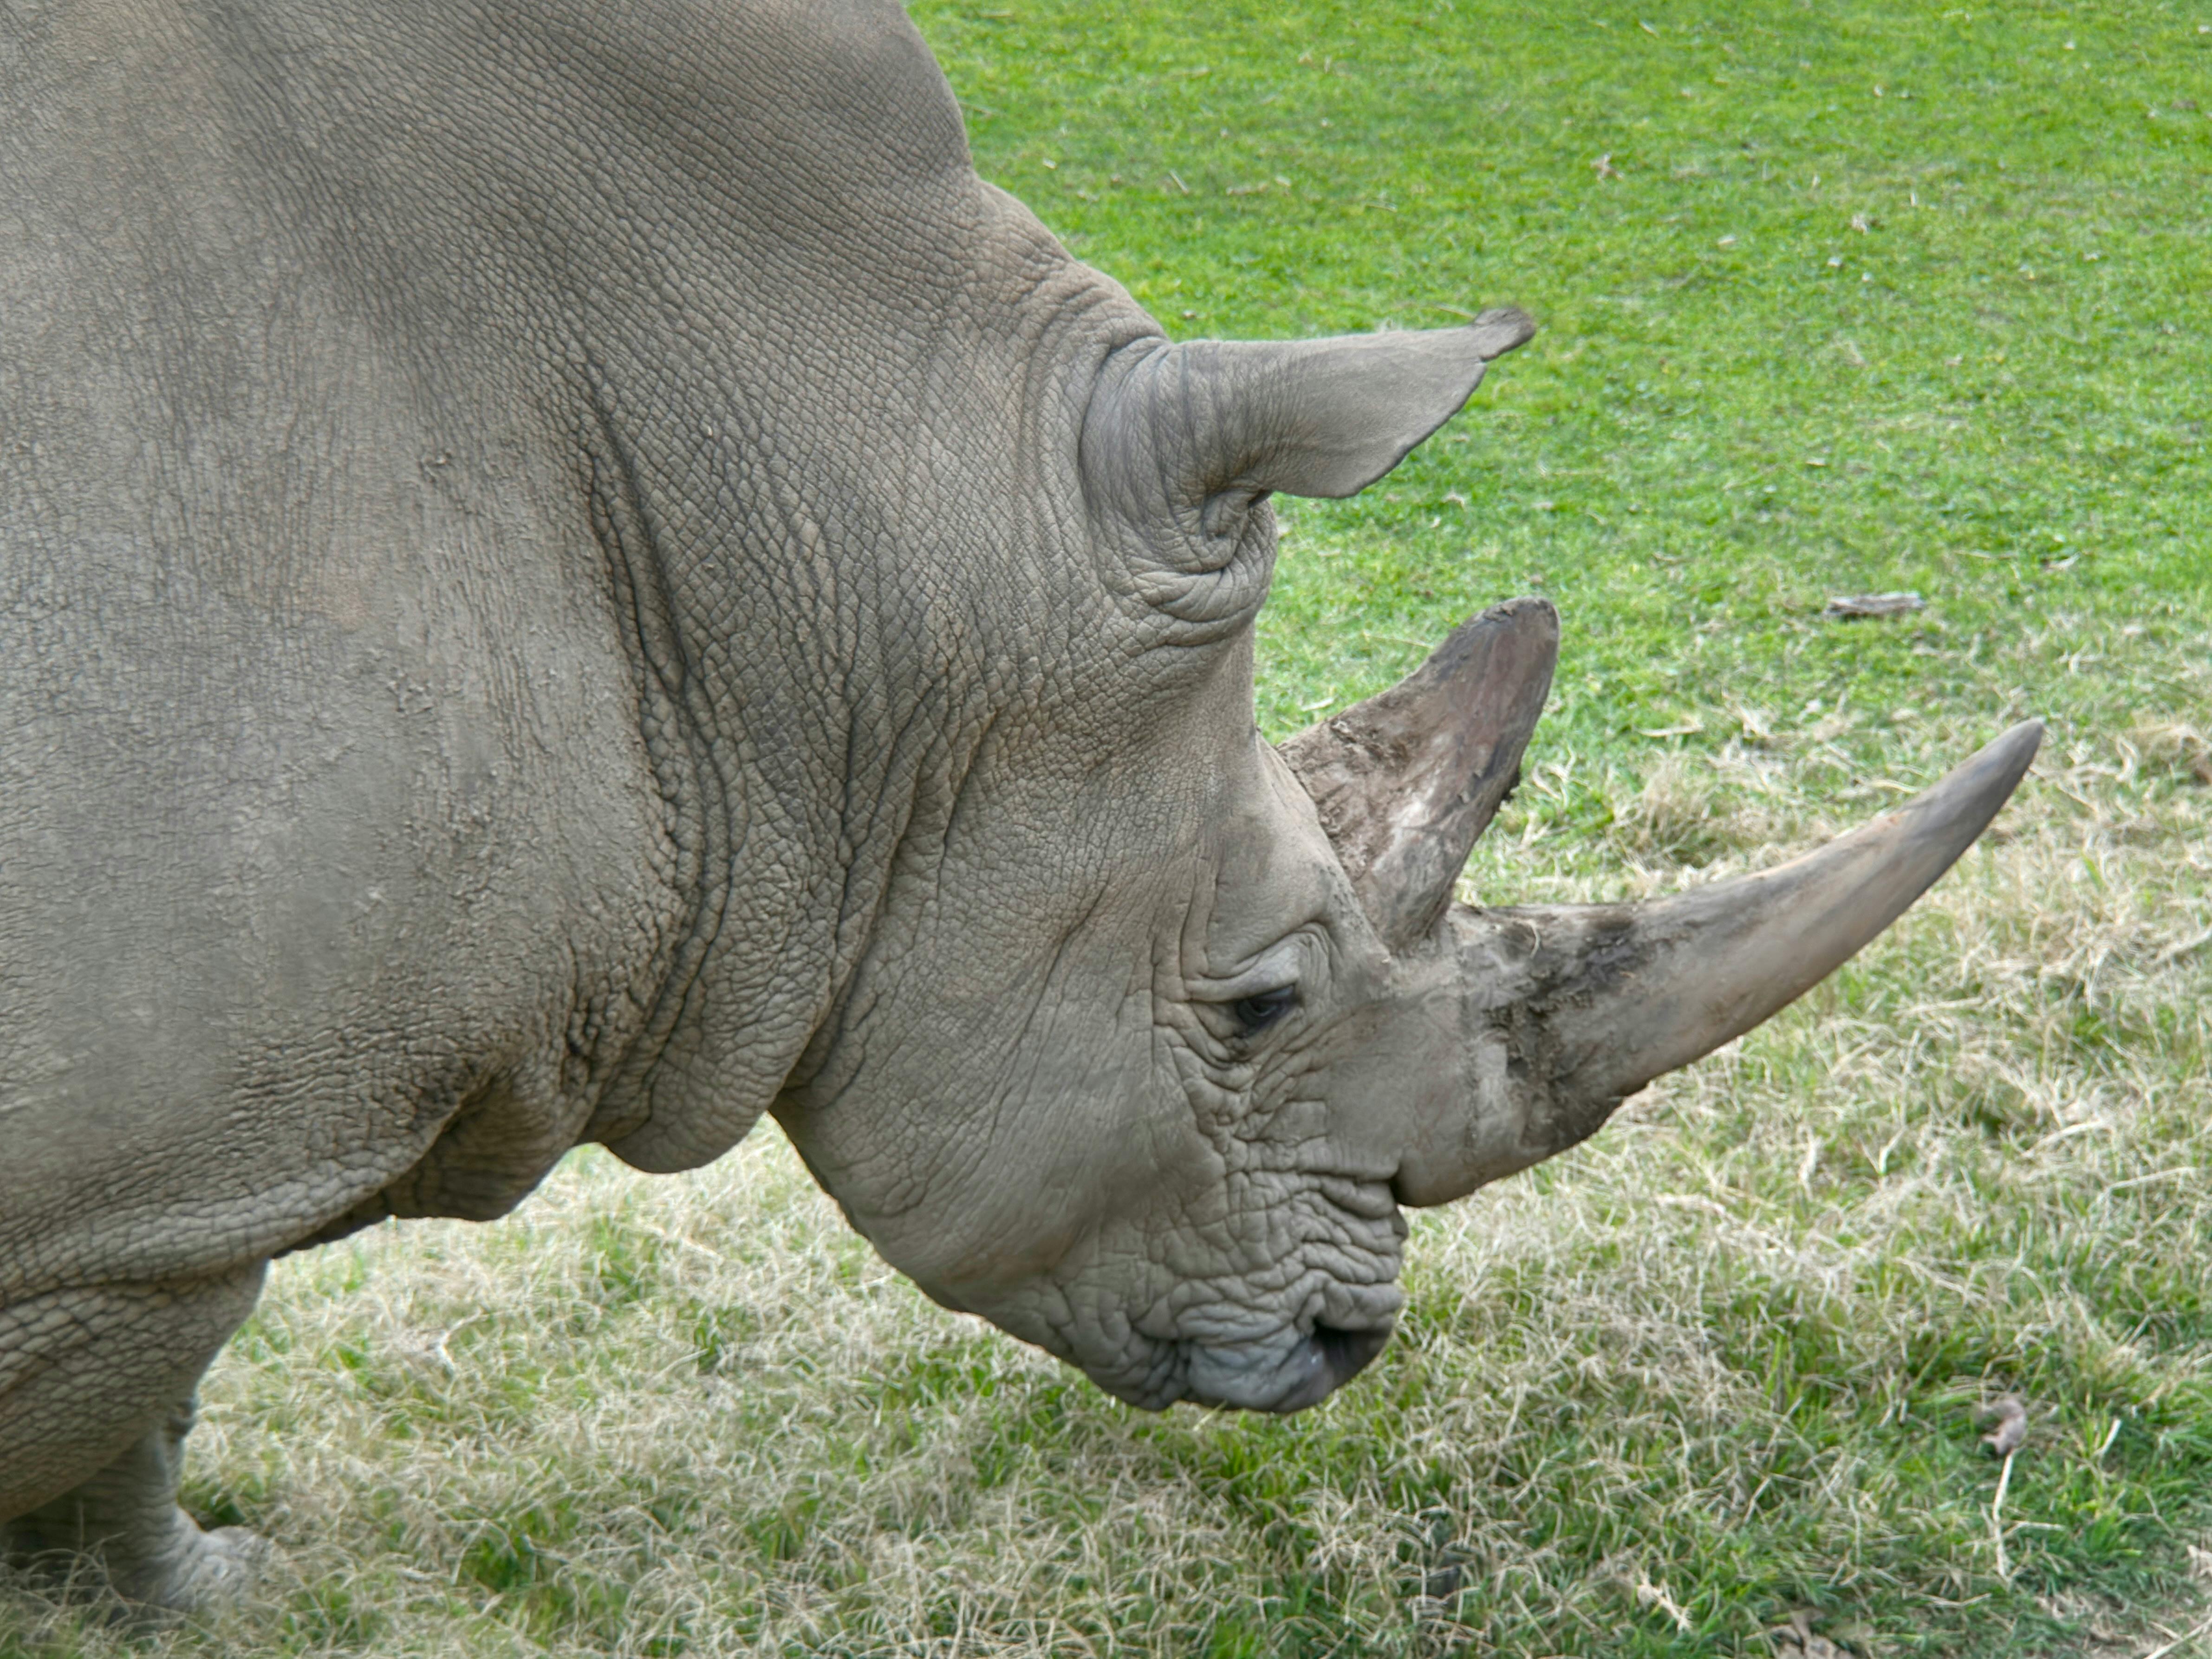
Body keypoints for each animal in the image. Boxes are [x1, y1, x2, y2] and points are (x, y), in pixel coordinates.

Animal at [0, 0, 2038, 1614]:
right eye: (1262, 1002)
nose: (1351, 1340)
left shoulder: (178, 1142)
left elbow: (145, 1393)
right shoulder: (169, 1167)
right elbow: (151, 1384)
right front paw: (209, 1588)